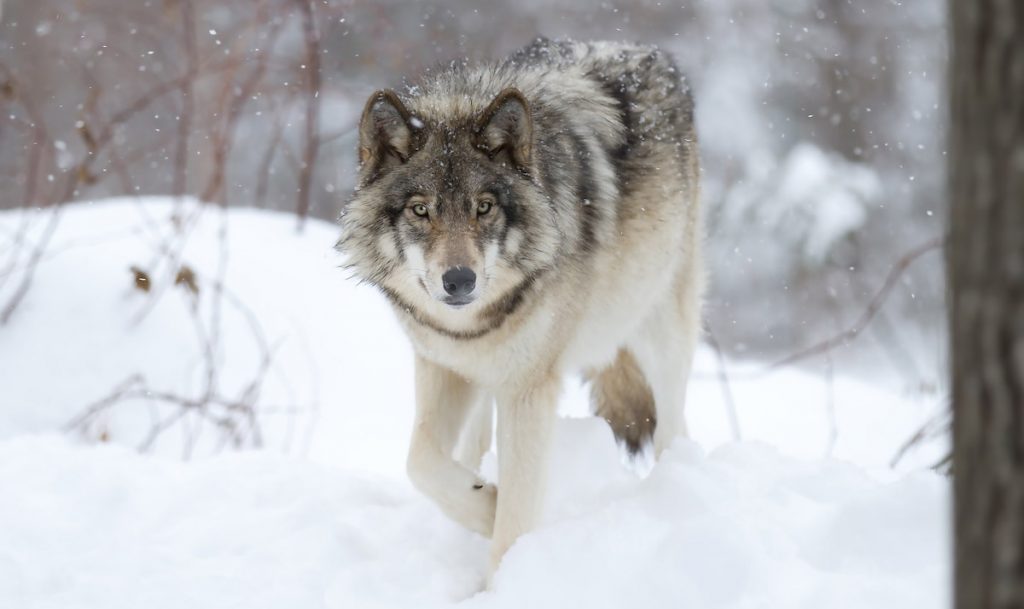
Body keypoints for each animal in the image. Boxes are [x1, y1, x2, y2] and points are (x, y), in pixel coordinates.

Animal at [338, 38, 703, 578]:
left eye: (483, 207)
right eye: (421, 210)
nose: (459, 280)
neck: (470, 327)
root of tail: (643, 48)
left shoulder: (528, 391)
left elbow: (514, 517)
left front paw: (500, 575)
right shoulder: (443, 364)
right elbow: (419, 460)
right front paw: (483, 503)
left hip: (660, 326)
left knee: (673, 426)